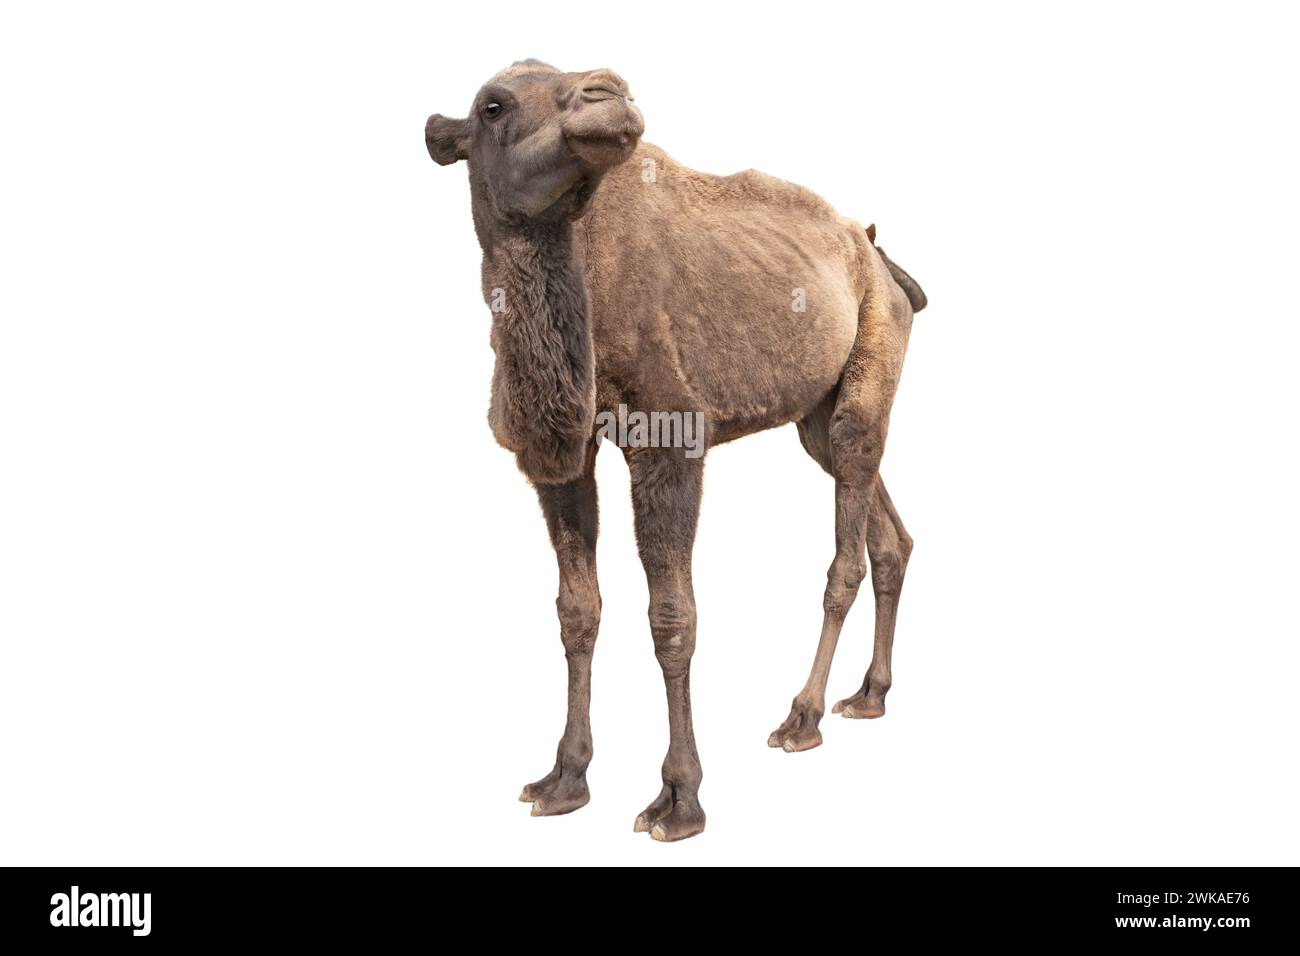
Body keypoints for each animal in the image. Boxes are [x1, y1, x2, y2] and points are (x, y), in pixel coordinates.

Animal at [425, 61, 927, 842]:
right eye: (493, 107)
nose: (606, 92)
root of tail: (876, 254)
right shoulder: (560, 458)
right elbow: (576, 609)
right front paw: (564, 778)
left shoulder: (669, 441)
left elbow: (672, 618)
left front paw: (678, 798)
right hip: (820, 416)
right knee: (886, 530)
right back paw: (869, 694)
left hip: (873, 359)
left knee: (846, 549)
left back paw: (802, 717)